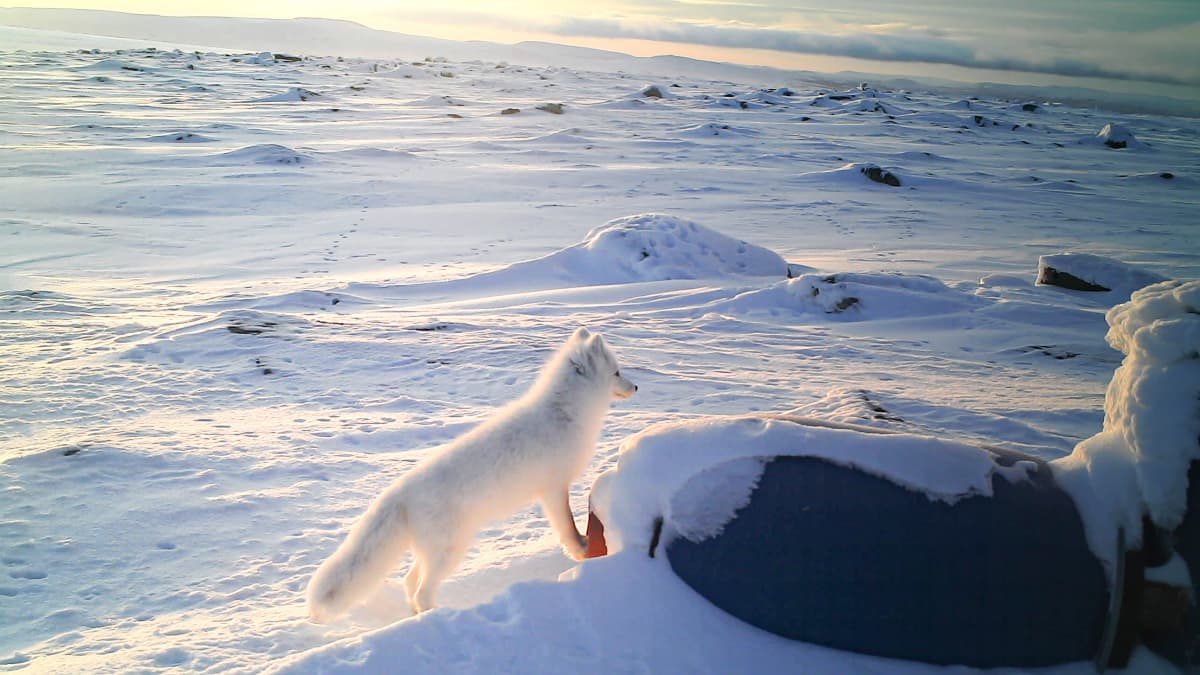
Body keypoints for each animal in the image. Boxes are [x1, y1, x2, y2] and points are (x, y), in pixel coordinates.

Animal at [306, 327, 637, 622]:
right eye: (617, 372)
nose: (636, 388)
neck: (564, 412)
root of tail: (400, 491)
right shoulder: (554, 488)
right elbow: (566, 526)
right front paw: (581, 548)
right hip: (450, 550)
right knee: (421, 591)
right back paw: (436, 616)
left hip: (433, 551)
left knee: (409, 583)